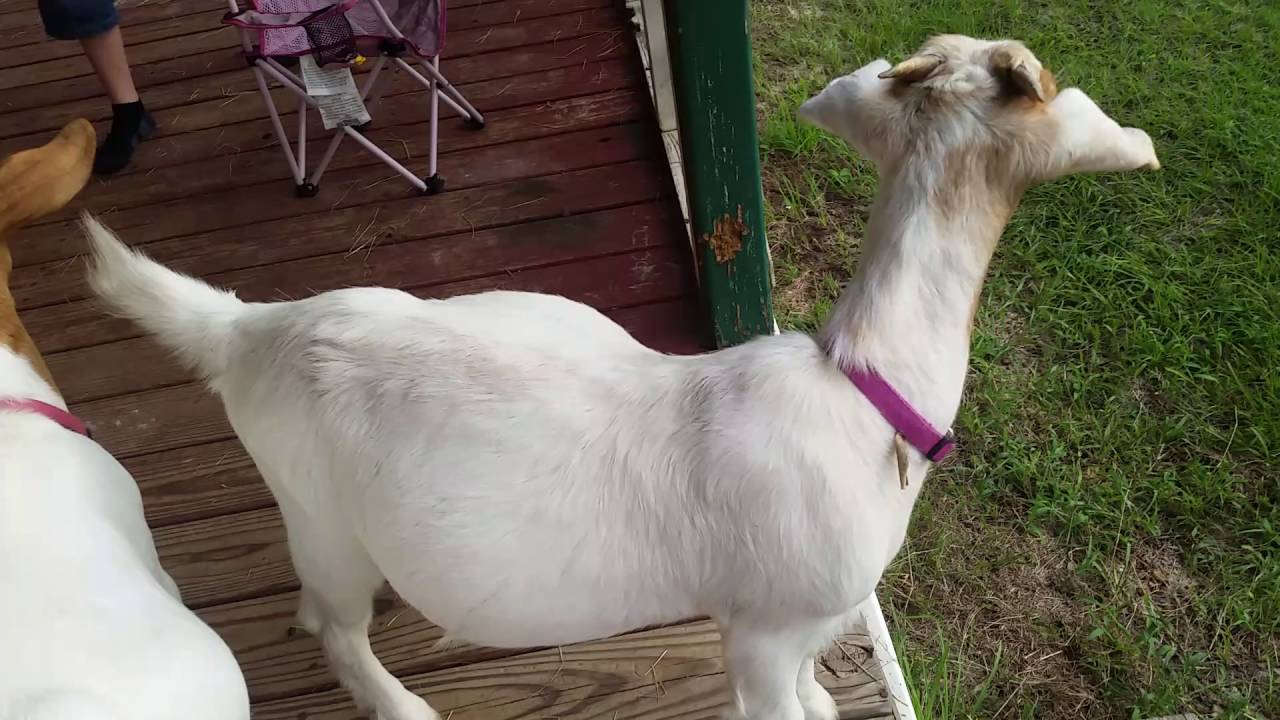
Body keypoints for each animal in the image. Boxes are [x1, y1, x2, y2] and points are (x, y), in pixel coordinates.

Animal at [81, 35, 1158, 720]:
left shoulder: (810, 623)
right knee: (333, 628)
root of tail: (245, 327)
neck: (862, 389)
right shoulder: (764, 632)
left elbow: (816, 691)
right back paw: (401, 704)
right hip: (316, 506)